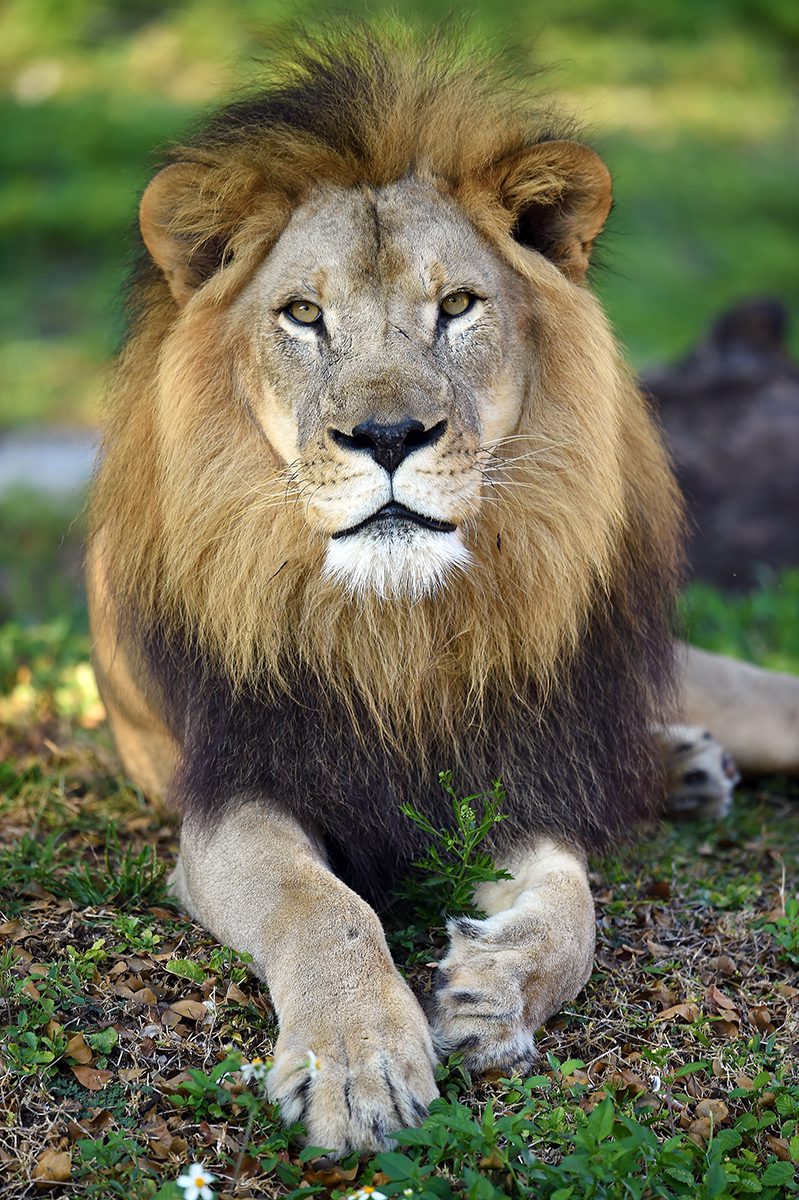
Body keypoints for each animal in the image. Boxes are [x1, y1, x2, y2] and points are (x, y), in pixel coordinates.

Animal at [87, 34, 799, 1154]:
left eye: (457, 306)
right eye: (303, 315)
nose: (387, 437)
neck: (398, 631)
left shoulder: (514, 766)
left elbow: (572, 907)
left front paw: (493, 987)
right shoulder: (234, 797)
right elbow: (321, 906)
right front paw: (358, 1064)